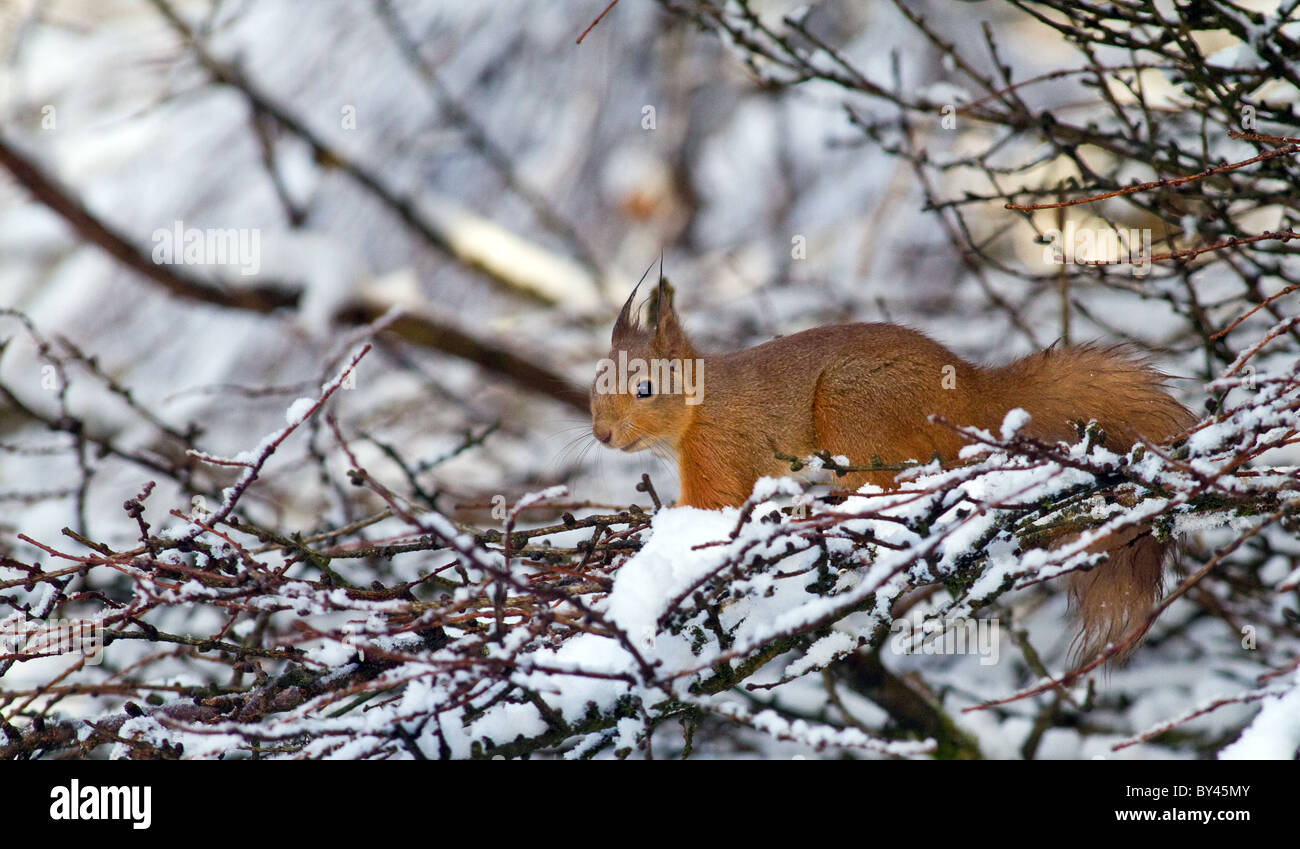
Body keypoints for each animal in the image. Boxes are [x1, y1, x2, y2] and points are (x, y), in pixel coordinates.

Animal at [590, 279, 1197, 665]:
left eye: (645, 388)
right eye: (596, 383)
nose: (601, 435)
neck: (698, 406)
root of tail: (971, 399)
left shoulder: (718, 452)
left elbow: (710, 506)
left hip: (854, 411)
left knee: (891, 485)